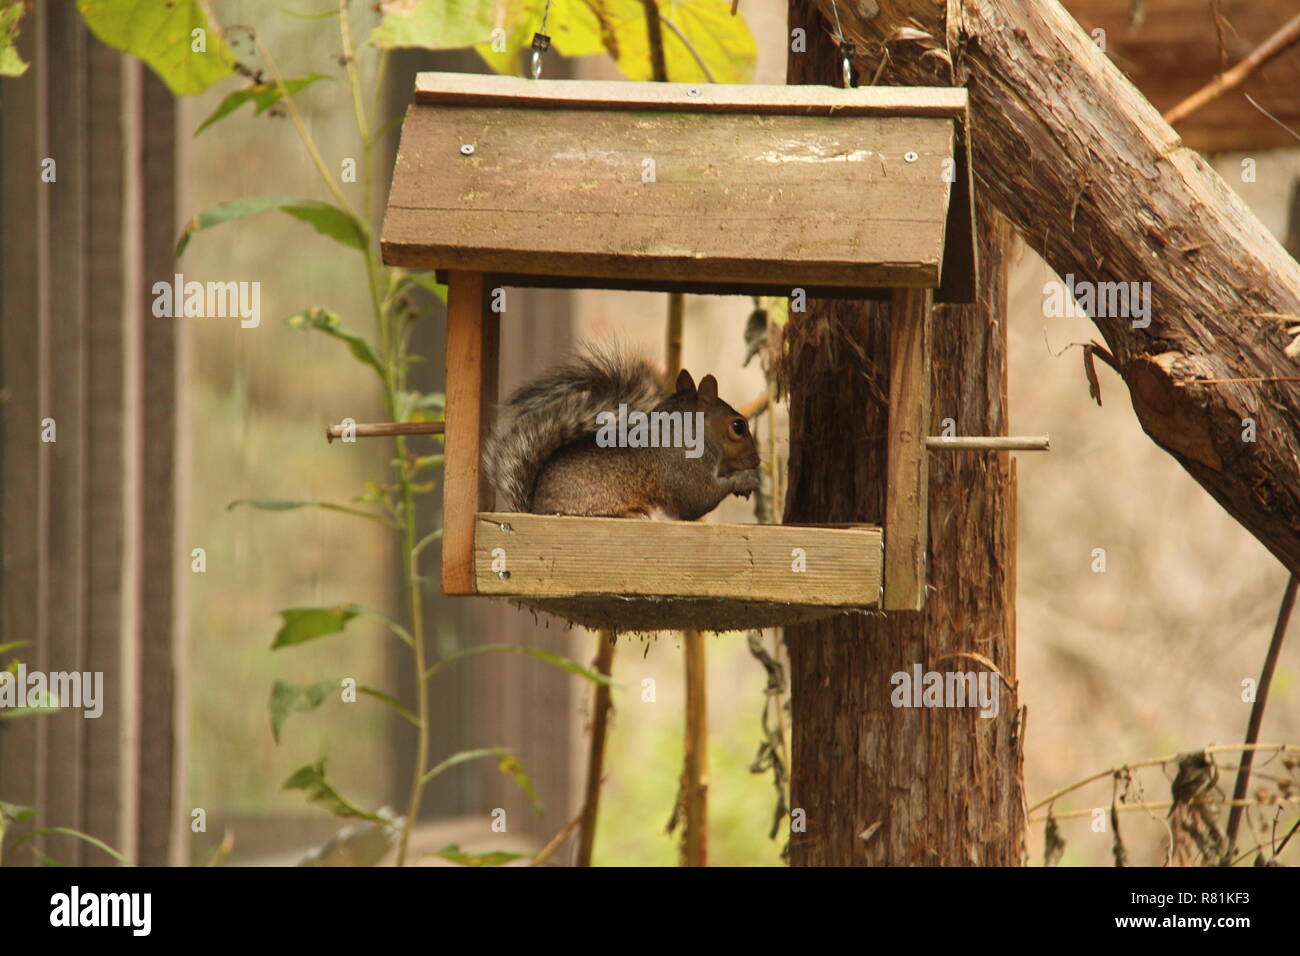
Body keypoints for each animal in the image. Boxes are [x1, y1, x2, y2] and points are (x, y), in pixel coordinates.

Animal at [483, 349, 760, 520]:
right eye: (738, 427)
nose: (757, 460)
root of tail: (533, 510)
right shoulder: (684, 470)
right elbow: (700, 497)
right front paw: (745, 480)